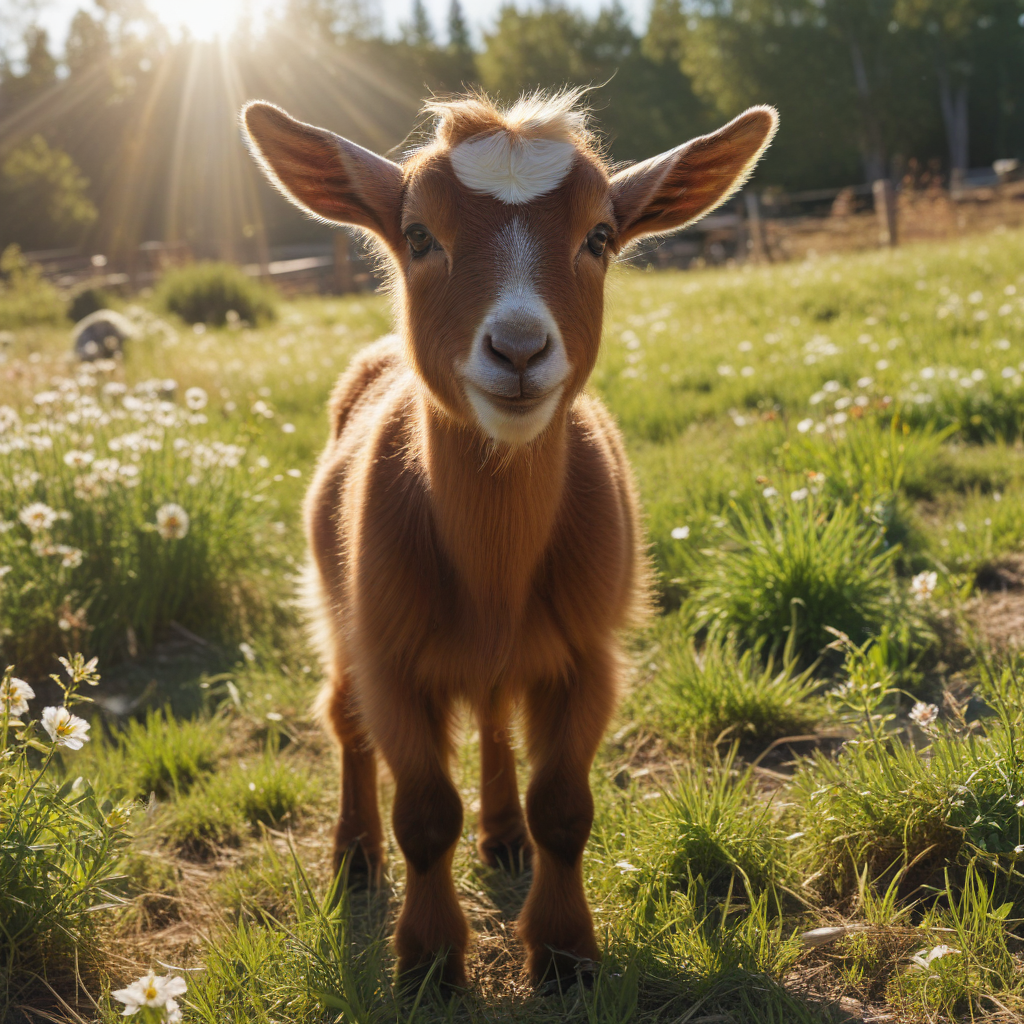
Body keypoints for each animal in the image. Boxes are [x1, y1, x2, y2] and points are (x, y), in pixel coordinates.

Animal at [242, 90, 776, 990]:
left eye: (601, 236)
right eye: (418, 235)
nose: (519, 349)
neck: (493, 561)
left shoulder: (589, 652)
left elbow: (563, 808)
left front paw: (564, 953)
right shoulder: (391, 656)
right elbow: (424, 815)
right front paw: (428, 963)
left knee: (493, 716)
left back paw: (503, 836)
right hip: (335, 603)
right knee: (346, 720)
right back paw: (354, 855)